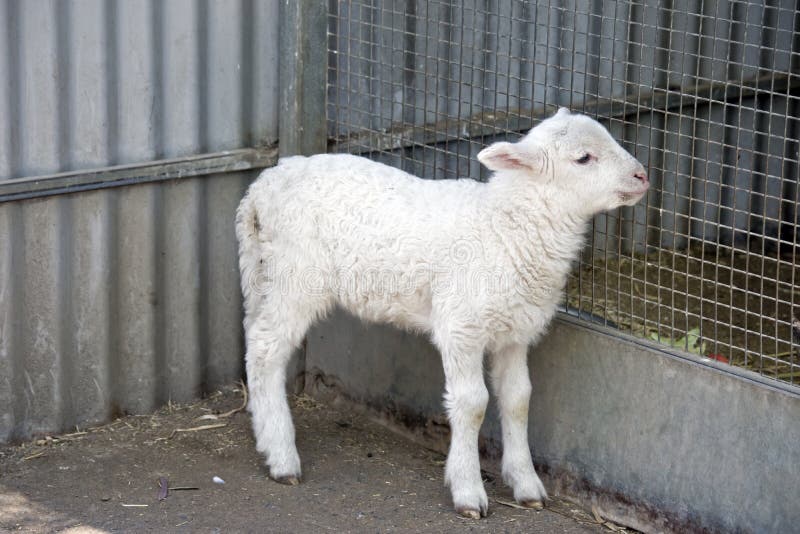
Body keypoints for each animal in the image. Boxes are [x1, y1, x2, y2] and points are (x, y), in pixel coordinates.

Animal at [235, 107, 649, 519]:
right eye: (583, 158)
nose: (642, 176)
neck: (505, 227)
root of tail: (265, 185)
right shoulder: (461, 327)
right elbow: (473, 404)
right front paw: (468, 489)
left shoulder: (514, 331)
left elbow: (518, 399)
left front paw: (526, 483)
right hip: (295, 277)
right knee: (264, 351)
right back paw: (282, 456)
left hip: (264, 273)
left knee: (254, 335)